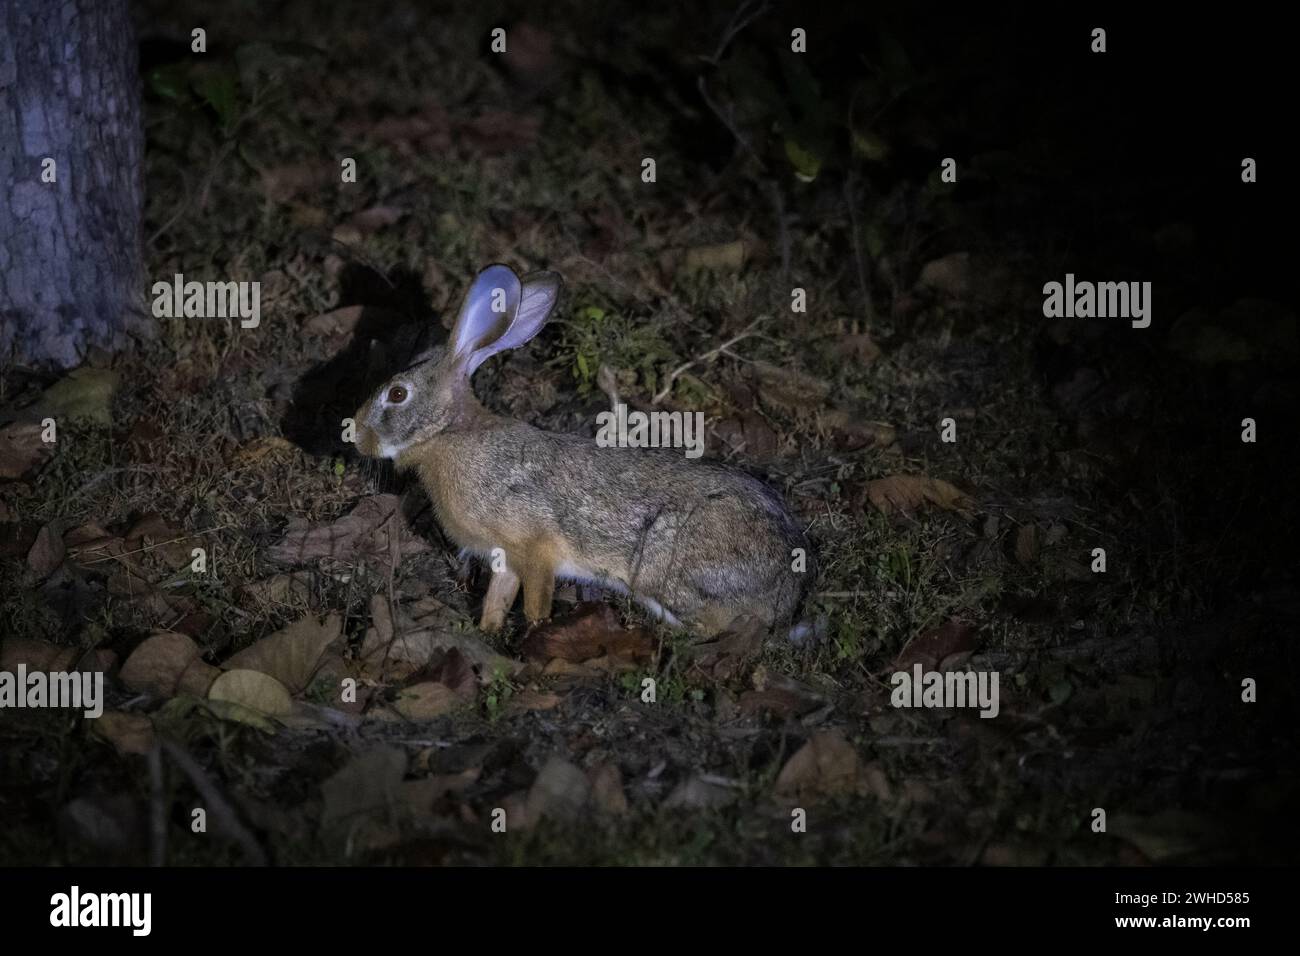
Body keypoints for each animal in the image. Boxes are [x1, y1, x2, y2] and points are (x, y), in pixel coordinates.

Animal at [352, 263, 813, 638]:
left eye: (397, 394)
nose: (356, 434)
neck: (448, 435)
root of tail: (787, 592)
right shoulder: (505, 559)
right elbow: (497, 599)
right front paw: (489, 632)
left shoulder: (536, 546)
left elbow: (536, 602)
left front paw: (532, 635)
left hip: (668, 565)